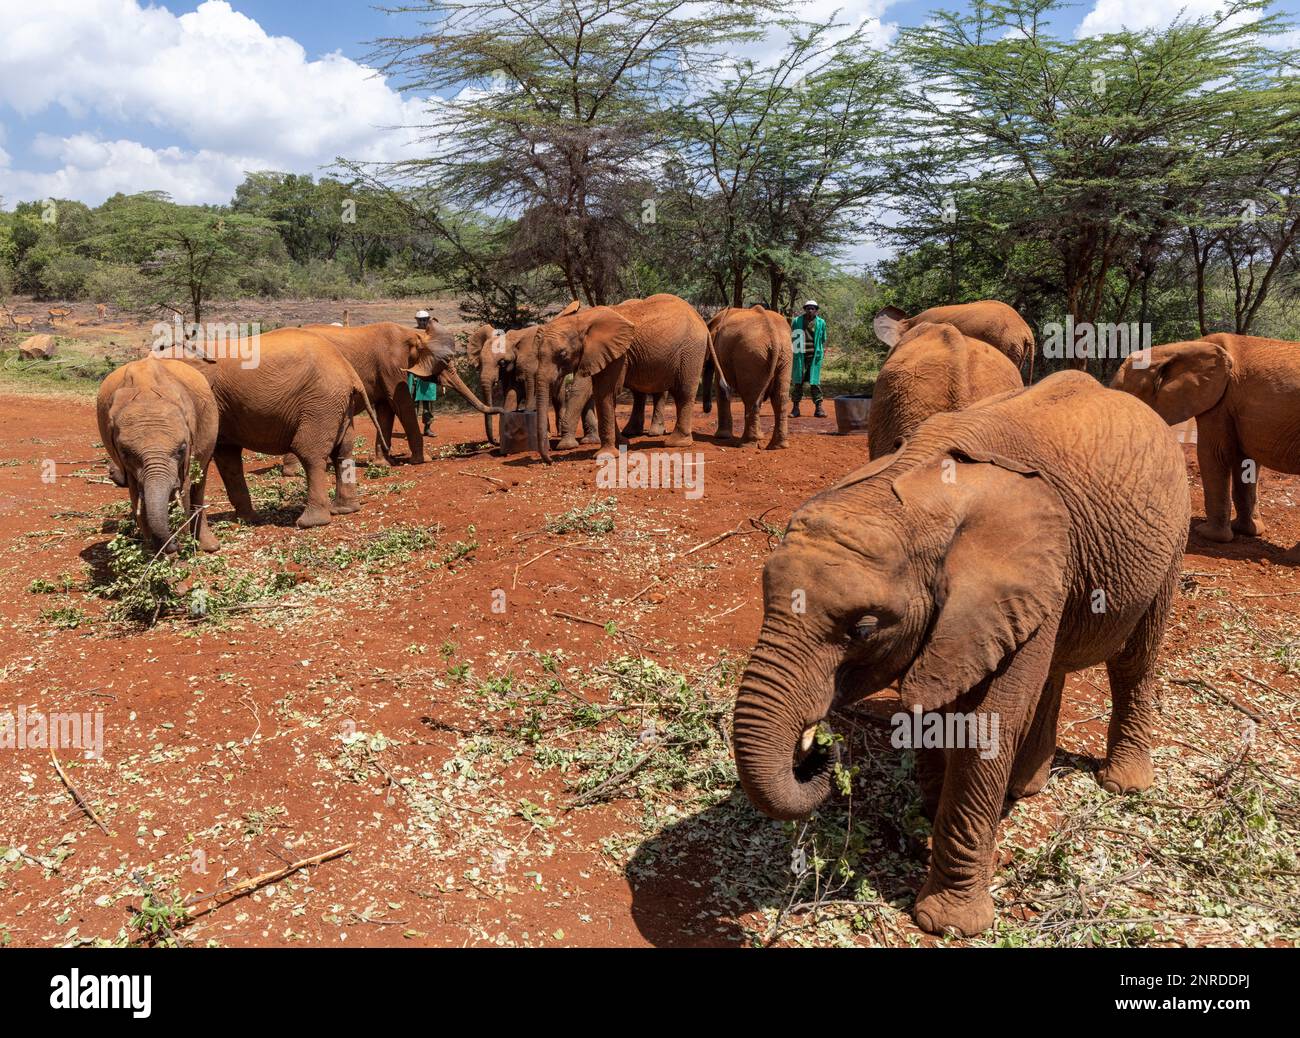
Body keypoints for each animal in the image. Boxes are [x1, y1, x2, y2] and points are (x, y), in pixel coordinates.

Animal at [97, 358, 219, 552]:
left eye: (181, 449)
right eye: (125, 453)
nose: (174, 544)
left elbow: (183, 491)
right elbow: (137, 497)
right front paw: (157, 554)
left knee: (200, 480)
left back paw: (209, 546)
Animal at [175, 330, 385, 529]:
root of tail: (349, 371)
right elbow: (227, 457)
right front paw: (247, 520)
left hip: (320, 403)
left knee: (310, 454)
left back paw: (310, 522)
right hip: (339, 405)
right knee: (343, 451)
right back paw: (344, 510)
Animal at [527, 293, 719, 462]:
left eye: (562, 354)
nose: (549, 460)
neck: (583, 319)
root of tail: (702, 320)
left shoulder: (615, 355)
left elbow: (604, 392)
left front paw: (604, 455)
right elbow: (605, 394)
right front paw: (622, 444)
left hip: (691, 351)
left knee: (684, 392)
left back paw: (676, 443)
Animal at [702, 304, 792, 449]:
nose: (707, 409)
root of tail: (773, 334)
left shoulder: (720, 352)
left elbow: (720, 387)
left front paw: (722, 437)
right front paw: (761, 437)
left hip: (750, 354)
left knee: (752, 397)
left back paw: (745, 444)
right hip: (784, 355)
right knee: (778, 397)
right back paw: (777, 446)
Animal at [732, 371, 1189, 936]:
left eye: (862, 629)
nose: (818, 751)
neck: (915, 484)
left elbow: (983, 725)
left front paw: (947, 924)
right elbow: (929, 705)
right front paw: (929, 812)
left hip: (1171, 538)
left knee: (1134, 660)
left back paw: (1121, 785)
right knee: (1056, 665)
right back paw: (1026, 788)